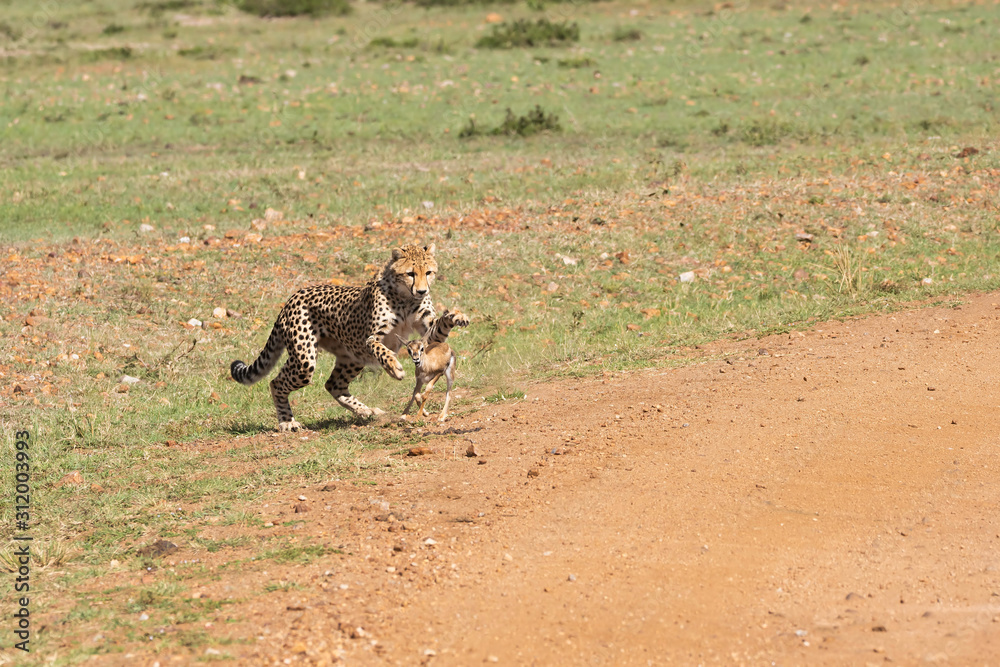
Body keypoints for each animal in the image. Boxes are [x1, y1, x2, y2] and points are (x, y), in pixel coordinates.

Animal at [230, 244, 468, 432]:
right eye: (410, 273)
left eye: (428, 272)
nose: (421, 291)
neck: (405, 297)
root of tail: (292, 297)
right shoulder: (370, 339)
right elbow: (382, 351)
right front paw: (394, 368)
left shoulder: (428, 333)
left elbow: (440, 326)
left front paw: (457, 316)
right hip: (305, 360)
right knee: (276, 382)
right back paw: (287, 422)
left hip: (351, 358)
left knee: (333, 385)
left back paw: (366, 411)